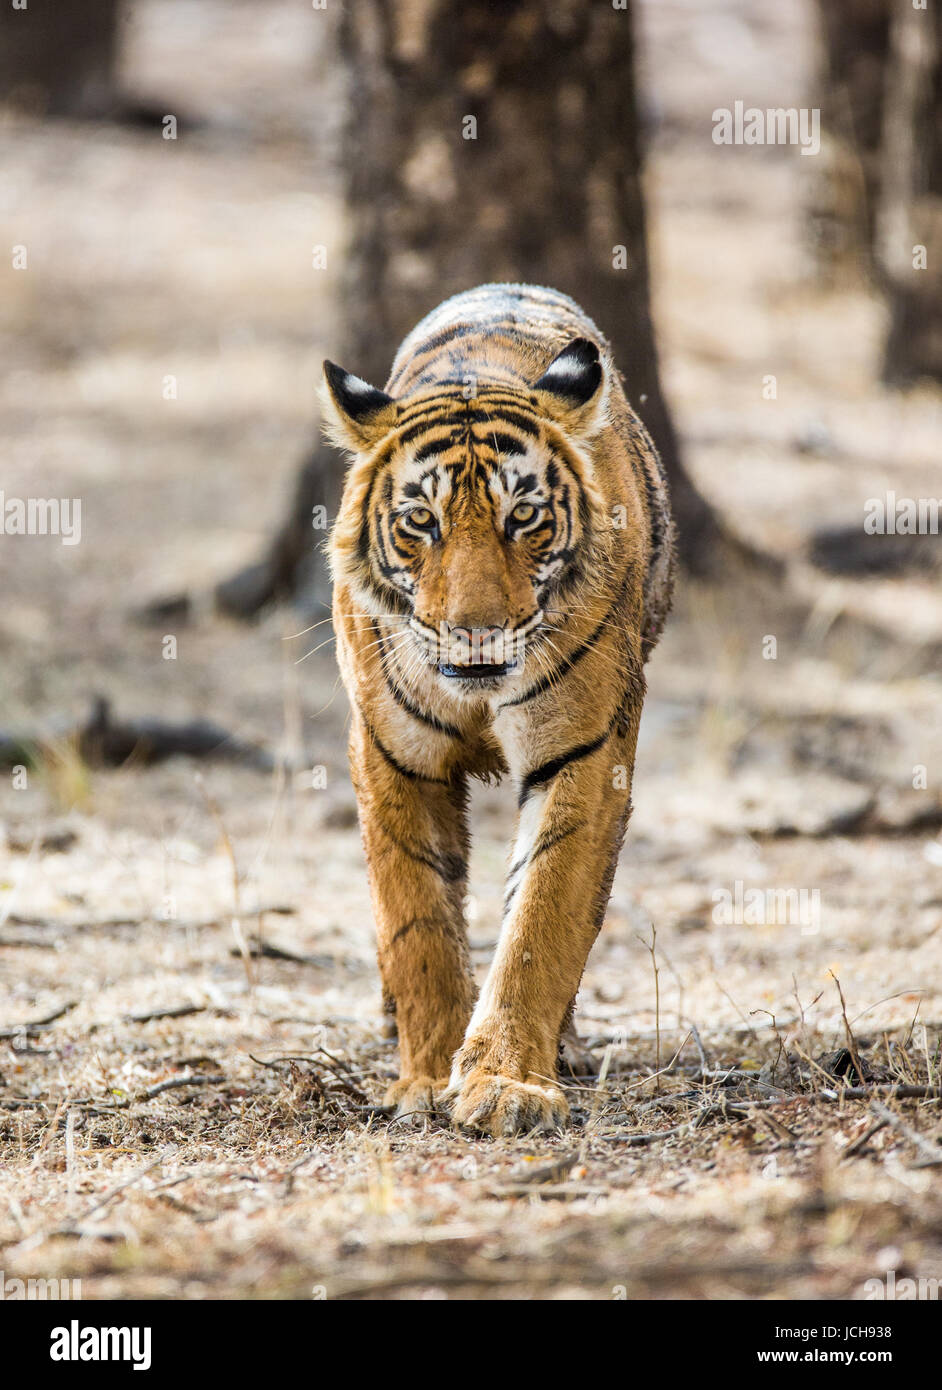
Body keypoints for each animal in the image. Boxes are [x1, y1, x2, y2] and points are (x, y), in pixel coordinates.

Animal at [322, 283, 674, 1137]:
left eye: (525, 518)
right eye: (421, 521)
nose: (474, 629)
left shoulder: (585, 754)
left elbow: (541, 918)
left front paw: (508, 1082)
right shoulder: (391, 755)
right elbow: (415, 918)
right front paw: (424, 1076)